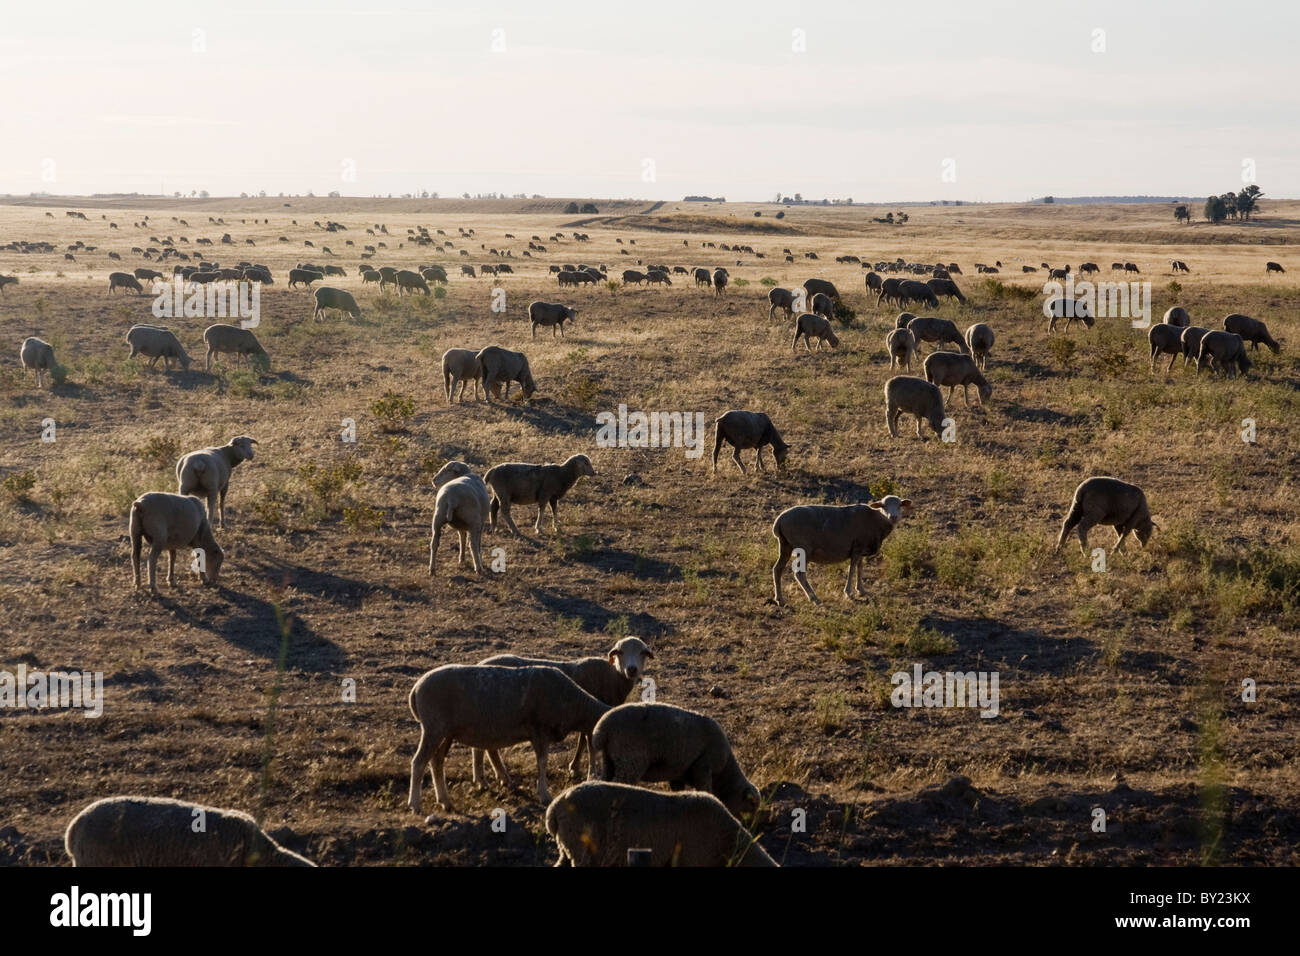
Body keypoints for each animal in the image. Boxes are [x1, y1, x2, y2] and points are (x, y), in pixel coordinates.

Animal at [406, 664, 610, 814]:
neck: (573, 704)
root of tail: (416, 689)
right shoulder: (540, 732)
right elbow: (542, 762)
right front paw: (544, 794)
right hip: (434, 728)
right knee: (419, 762)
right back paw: (415, 804)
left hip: (446, 733)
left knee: (436, 761)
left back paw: (445, 801)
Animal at [474, 637, 654, 780]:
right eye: (620, 652)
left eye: (642, 653)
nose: (632, 669)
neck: (613, 677)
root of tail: (479, 663)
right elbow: (589, 745)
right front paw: (591, 774)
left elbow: (582, 741)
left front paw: (574, 767)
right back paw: (500, 776)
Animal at [591, 702, 761, 819]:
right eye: (751, 805)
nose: (751, 827)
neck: (725, 772)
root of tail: (602, 729)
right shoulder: (703, 767)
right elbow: (705, 789)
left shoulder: (678, 774)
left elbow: (678, 789)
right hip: (630, 759)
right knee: (619, 782)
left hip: (610, 759)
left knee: (606, 779)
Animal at [770, 494, 912, 605]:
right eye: (883, 506)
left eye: (900, 505)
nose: (893, 517)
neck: (876, 521)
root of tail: (779, 522)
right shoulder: (857, 547)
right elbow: (852, 569)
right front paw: (848, 592)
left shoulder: (861, 549)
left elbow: (860, 568)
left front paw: (861, 590)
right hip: (804, 548)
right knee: (799, 573)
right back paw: (814, 598)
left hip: (785, 545)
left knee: (777, 569)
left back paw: (780, 599)